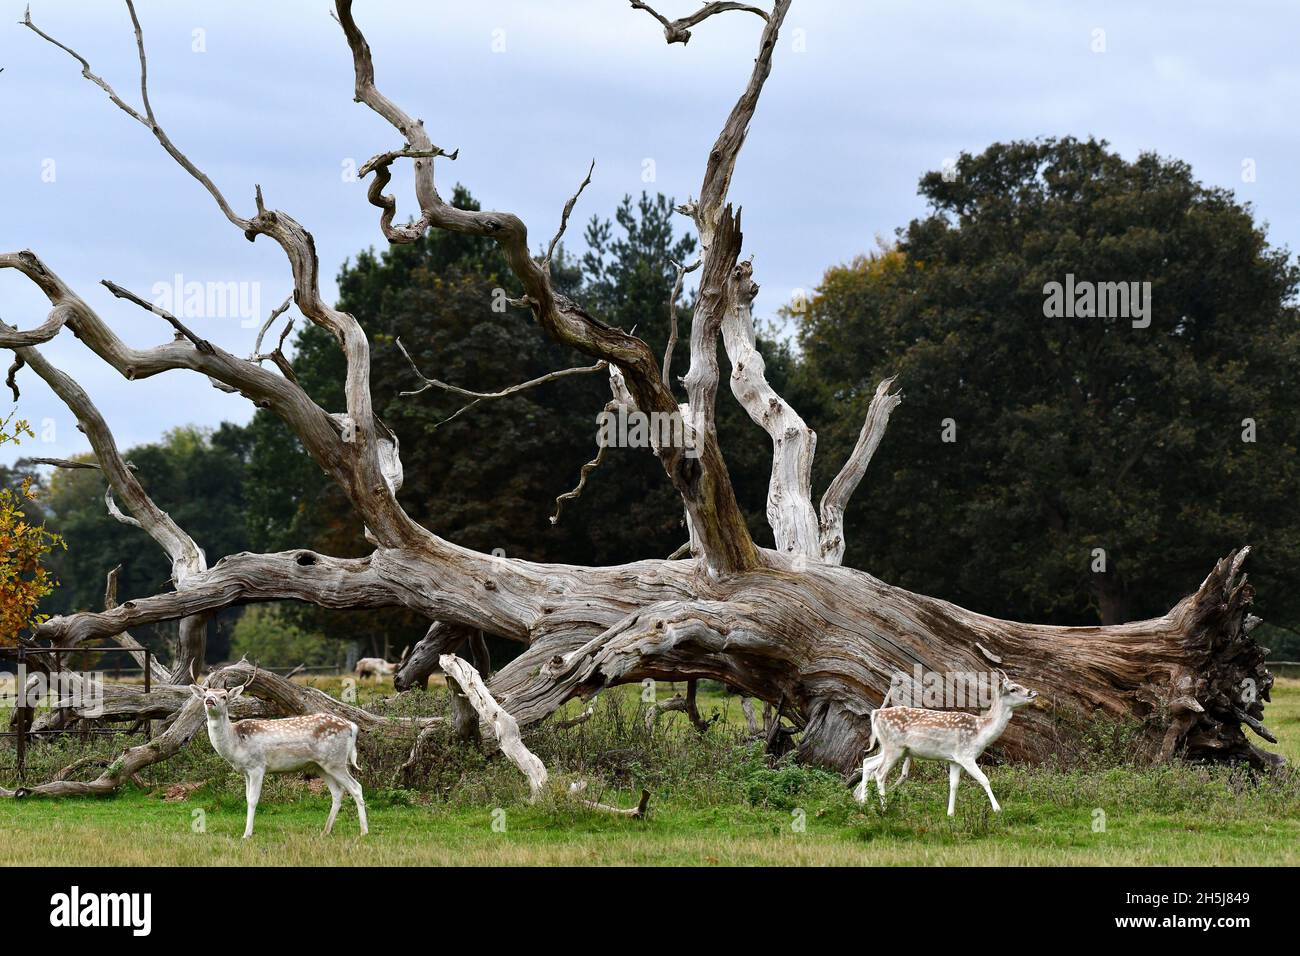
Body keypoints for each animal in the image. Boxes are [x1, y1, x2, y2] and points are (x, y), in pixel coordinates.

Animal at [189, 673, 368, 839]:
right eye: (205, 695)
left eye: (224, 696)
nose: (209, 700)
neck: (235, 743)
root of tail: (352, 726)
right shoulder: (246, 771)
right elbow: (246, 798)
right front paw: (247, 831)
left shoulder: (257, 767)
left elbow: (253, 799)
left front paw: (247, 834)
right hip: (320, 766)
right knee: (337, 792)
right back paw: (326, 831)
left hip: (335, 761)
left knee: (356, 787)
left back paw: (363, 831)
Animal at [854, 670, 1039, 815]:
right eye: (1013, 689)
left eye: (1020, 684)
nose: (1033, 692)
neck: (981, 732)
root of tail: (875, 713)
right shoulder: (966, 755)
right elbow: (984, 780)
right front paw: (997, 809)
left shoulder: (954, 760)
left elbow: (954, 785)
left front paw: (950, 814)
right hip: (894, 747)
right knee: (879, 773)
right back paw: (884, 808)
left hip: (894, 749)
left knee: (868, 762)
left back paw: (863, 802)